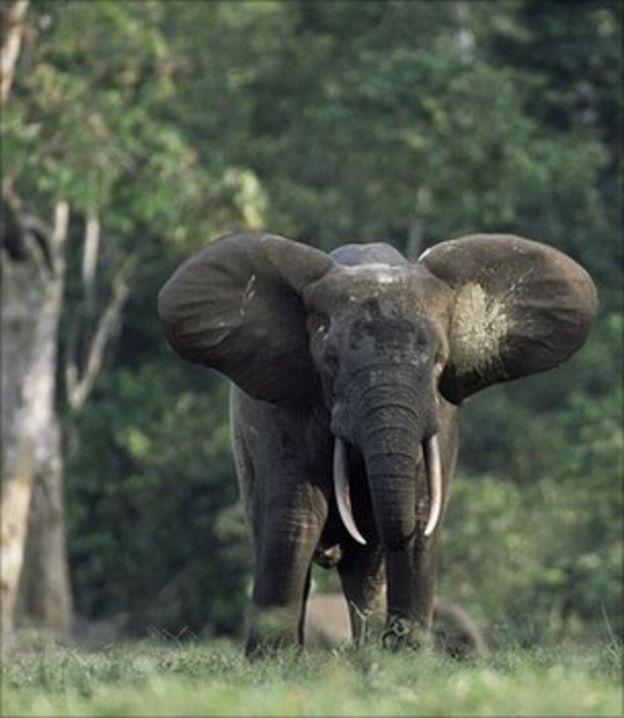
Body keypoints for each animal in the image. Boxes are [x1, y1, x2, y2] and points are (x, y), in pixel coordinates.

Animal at [158, 231, 597, 655]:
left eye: (438, 361)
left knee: (365, 574)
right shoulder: (284, 409)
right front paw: (272, 664)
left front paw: (403, 662)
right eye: (330, 361)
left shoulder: (440, 418)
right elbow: (294, 518)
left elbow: (420, 519)